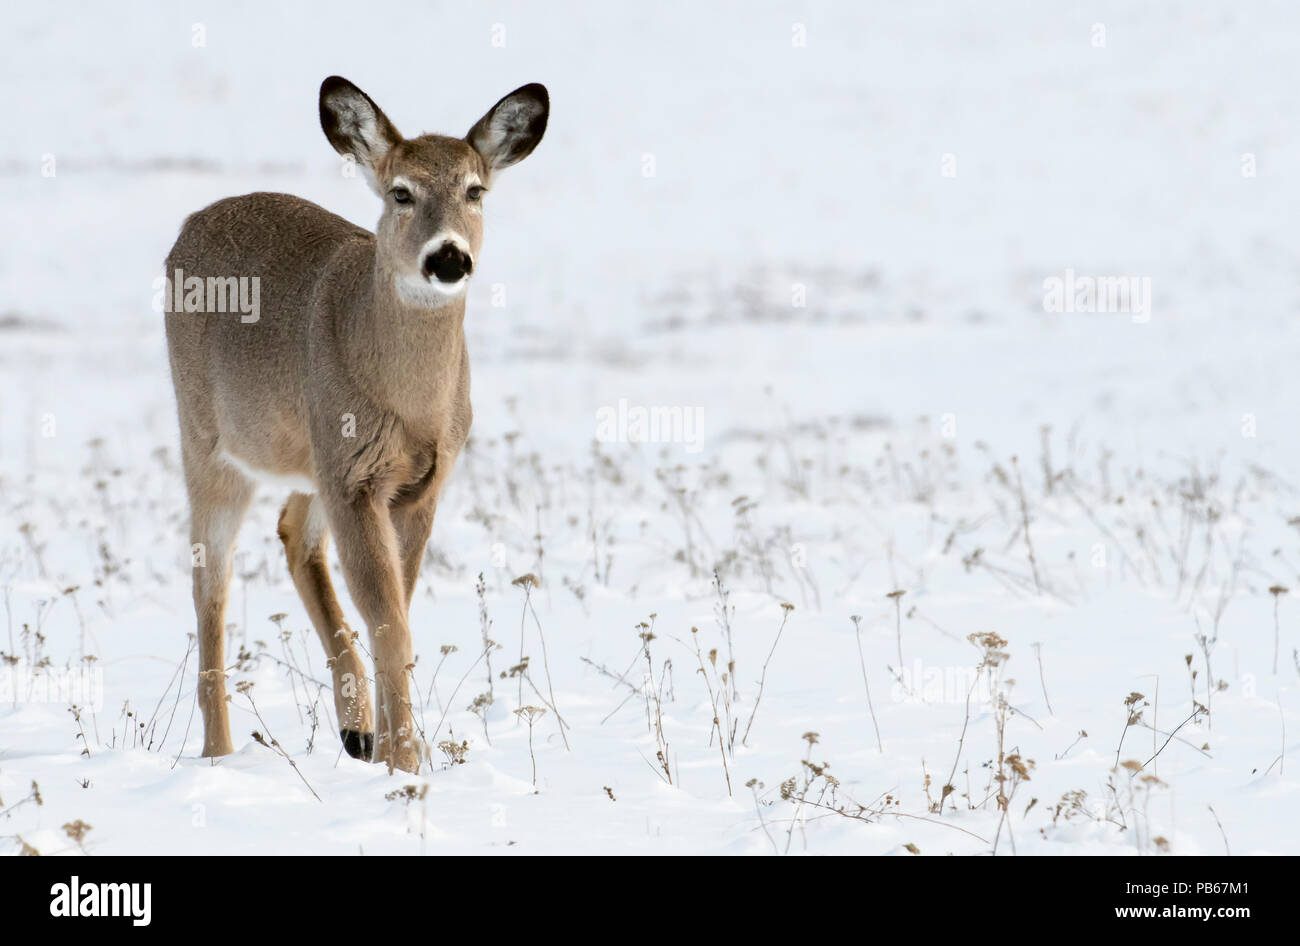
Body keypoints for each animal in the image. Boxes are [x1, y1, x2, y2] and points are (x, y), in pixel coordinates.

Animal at [163, 76, 548, 773]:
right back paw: (220, 754)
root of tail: (189, 224)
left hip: (310, 456)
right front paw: (406, 766)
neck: (412, 404)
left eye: (475, 190)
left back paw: (355, 731)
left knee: (294, 535)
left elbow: (398, 613)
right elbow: (391, 624)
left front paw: (394, 752)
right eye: (401, 192)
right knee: (211, 583)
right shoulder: (354, 476)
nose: (448, 257)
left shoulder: (419, 483)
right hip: (209, 441)